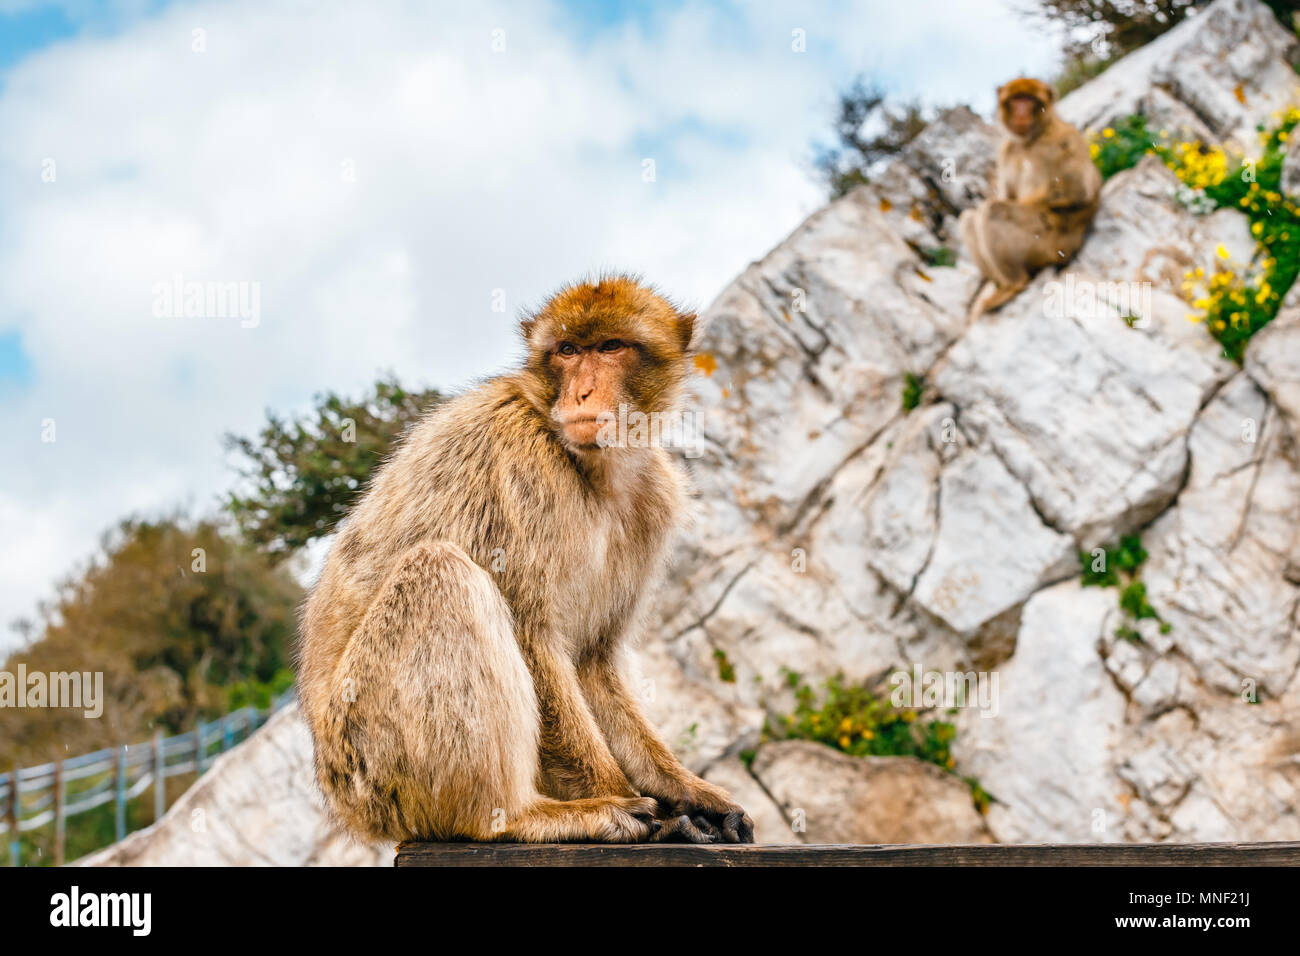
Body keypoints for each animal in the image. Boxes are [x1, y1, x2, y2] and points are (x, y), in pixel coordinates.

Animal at [297, 276, 756, 846]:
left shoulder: (655, 497)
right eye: (567, 351)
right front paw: (628, 800)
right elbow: (534, 637)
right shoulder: (520, 467)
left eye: (610, 347)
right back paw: (514, 816)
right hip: (372, 763)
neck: (591, 468)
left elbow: (591, 660)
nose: (582, 393)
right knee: (440, 571)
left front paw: (684, 789)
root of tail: (340, 795)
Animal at [959, 77, 1102, 320]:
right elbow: (1007, 194)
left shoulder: (1064, 137)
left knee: (993, 210)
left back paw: (1013, 284)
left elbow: (1078, 188)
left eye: (1029, 100)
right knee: (970, 218)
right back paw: (997, 284)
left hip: (1046, 245)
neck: (1030, 139)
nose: (1021, 112)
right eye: (1016, 99)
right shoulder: (1006, 150)